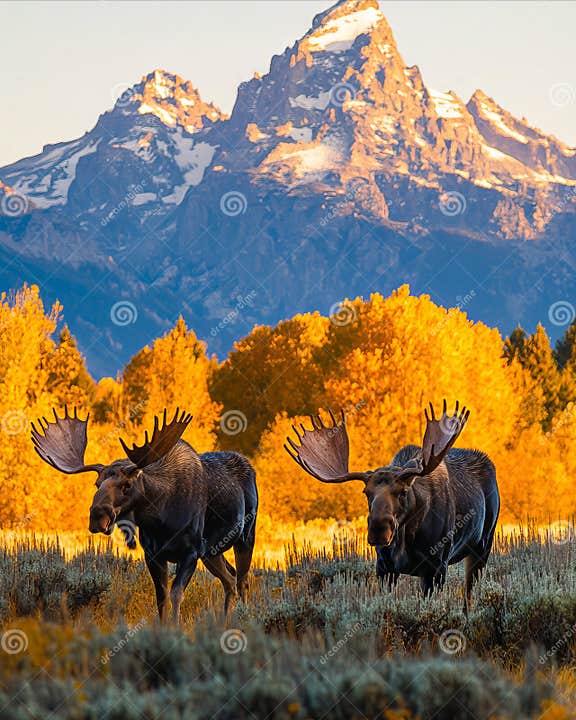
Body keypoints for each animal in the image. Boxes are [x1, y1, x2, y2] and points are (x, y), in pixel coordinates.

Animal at [31, 407, 258, 622]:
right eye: (97, 484)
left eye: (126, 485)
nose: (97, 518)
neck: (161, 521)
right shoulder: (153, 554)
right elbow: (161, 598)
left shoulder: (191, 551)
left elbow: (176, 594)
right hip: (212, 551)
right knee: (230, 580)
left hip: (245, 537)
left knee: (243, 581)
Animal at [285, 400, 499, 612]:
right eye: (366, 493)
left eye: (403, 491)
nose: (379, 529)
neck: (406, 539)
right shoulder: (384, 567)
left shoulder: (437, 566)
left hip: (483, 545)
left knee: (469, 596)